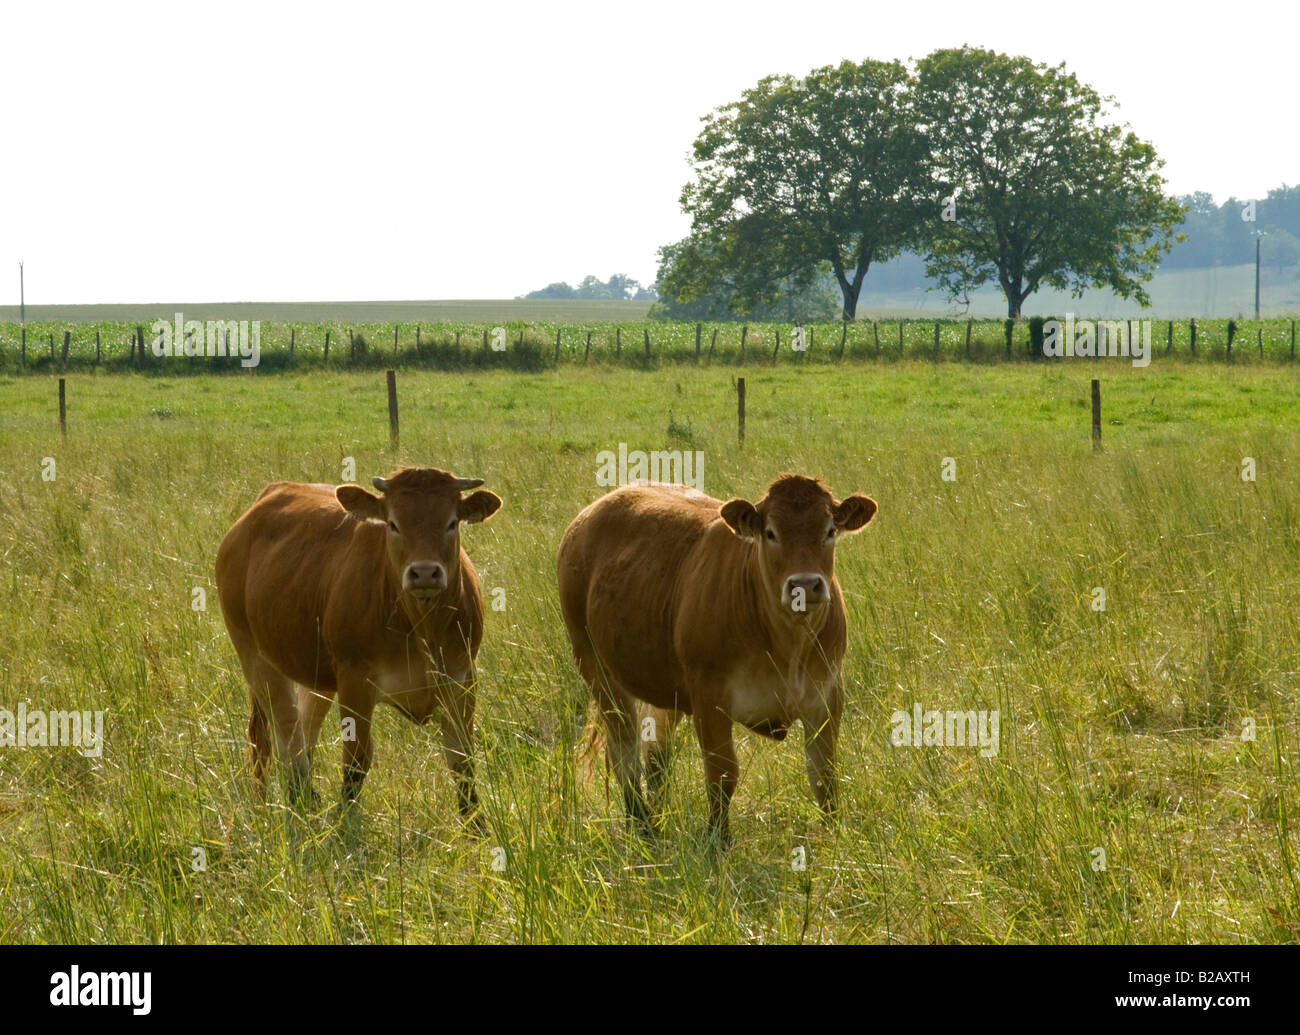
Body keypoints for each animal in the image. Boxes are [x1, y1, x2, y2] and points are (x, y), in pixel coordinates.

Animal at [215, 466, 502, 827]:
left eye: (452, 522)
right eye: (393, 523)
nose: (424, 573)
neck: (421, 626)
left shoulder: (462, 679)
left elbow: (462, 761)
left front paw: (476, 827)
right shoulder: (355, 683)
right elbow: (356, 762)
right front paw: (345, 824)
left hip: (317, 676)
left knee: (304, 729)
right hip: (255, 655)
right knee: (284, 736)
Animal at [557, 475, 876, 845]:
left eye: (829, 530)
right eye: (770, 533)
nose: (805, 585)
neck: (787, 647)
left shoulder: (827, 694)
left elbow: (823, 772)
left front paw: (835, 835)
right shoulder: (709, 698)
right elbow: (722, 773)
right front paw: (718, 841)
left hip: (665, 688)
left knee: (656, 754)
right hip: (596, 667)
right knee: (625, 748)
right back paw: (643, 825)